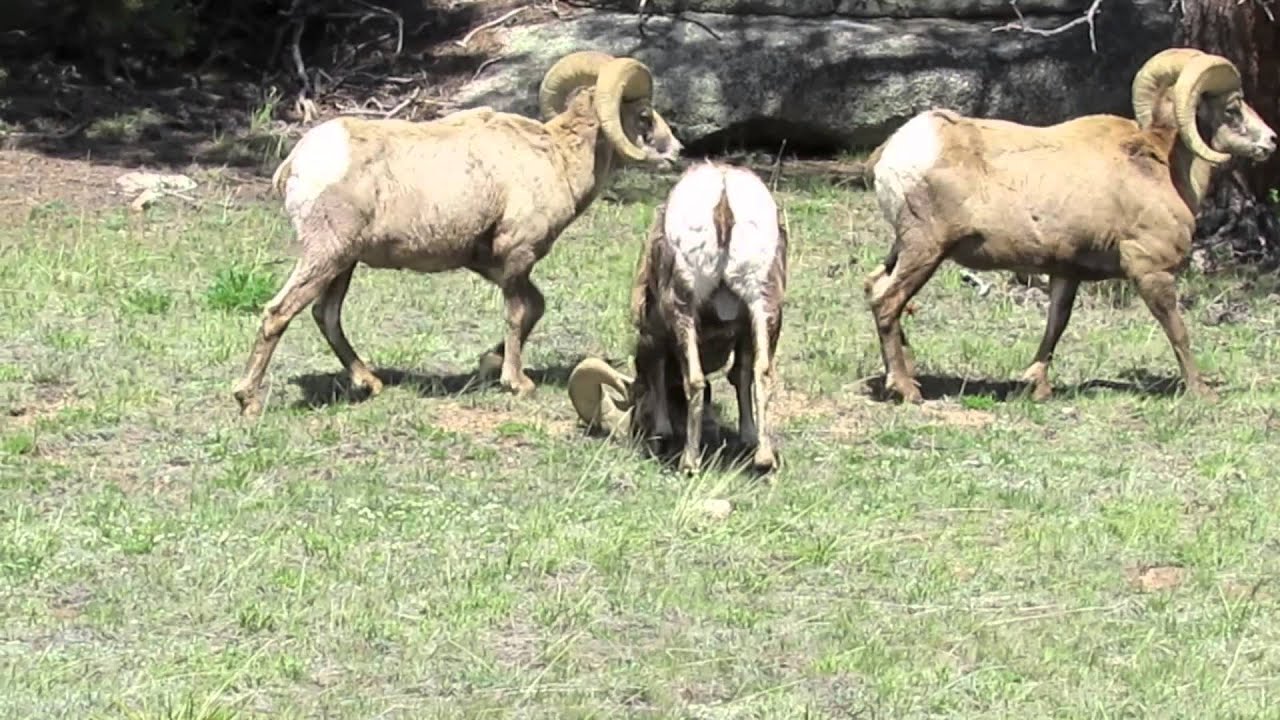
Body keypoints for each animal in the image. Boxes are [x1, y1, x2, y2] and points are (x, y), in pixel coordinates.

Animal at [231, 50, 683, 416]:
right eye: (644, 116)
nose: (677, 151)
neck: (556, 158)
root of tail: (295, 164)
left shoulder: (491, 263)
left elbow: (535, 307)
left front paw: (489, 363)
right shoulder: (516, 256)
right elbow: (518, 313)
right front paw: (517, 383)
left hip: (343, 263)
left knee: (326, 315)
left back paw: (369, 383)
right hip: (326, 256)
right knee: (279, 313)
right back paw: (247, 400)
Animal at [567, 161, 788, 474]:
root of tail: (723, 193)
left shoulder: (654, 335)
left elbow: (659, 373)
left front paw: (663, 433)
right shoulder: (745, 331)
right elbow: (741, 377)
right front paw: (748, 438)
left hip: (683, 307)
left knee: (694, 381)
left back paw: (689, 462)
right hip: (765, 304)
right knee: (763, 373)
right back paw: (764, 460)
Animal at [862, 47, 1276, 405]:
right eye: (1232, 109)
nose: (1271, 141)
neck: (1164, 166)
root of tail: (893, 153)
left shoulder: (1066, 273)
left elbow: (1056, 325)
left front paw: (1038, 387)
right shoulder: (1150, 270)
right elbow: (1178, 331)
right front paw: (1201, 391)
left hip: (904, 249)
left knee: (874, 287)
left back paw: (907, 375)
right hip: (926, 250)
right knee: (886, 301)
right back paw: (908, 391)